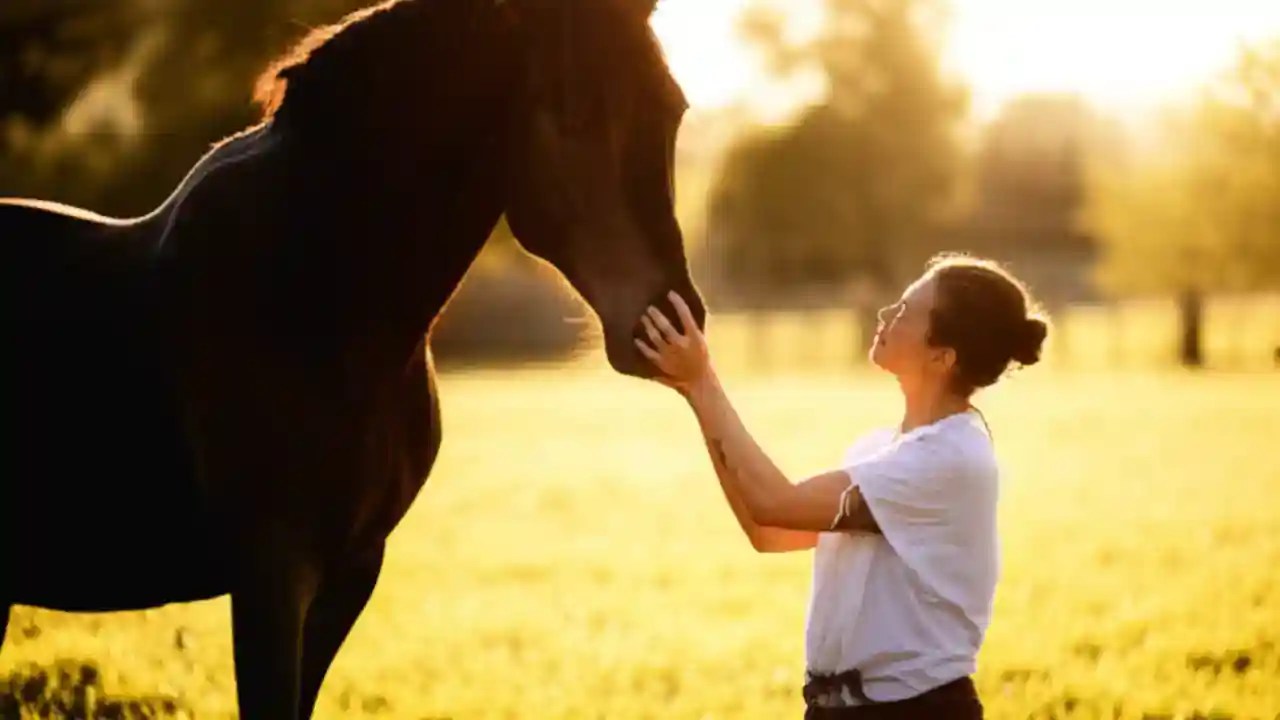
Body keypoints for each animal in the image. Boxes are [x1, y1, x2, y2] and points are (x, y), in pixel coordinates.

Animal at [1, 0, 706, 716]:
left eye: (673, 107)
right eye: (576, 112)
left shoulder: (352, 572)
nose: (675, 318)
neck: (323, 293)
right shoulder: (270, 579)